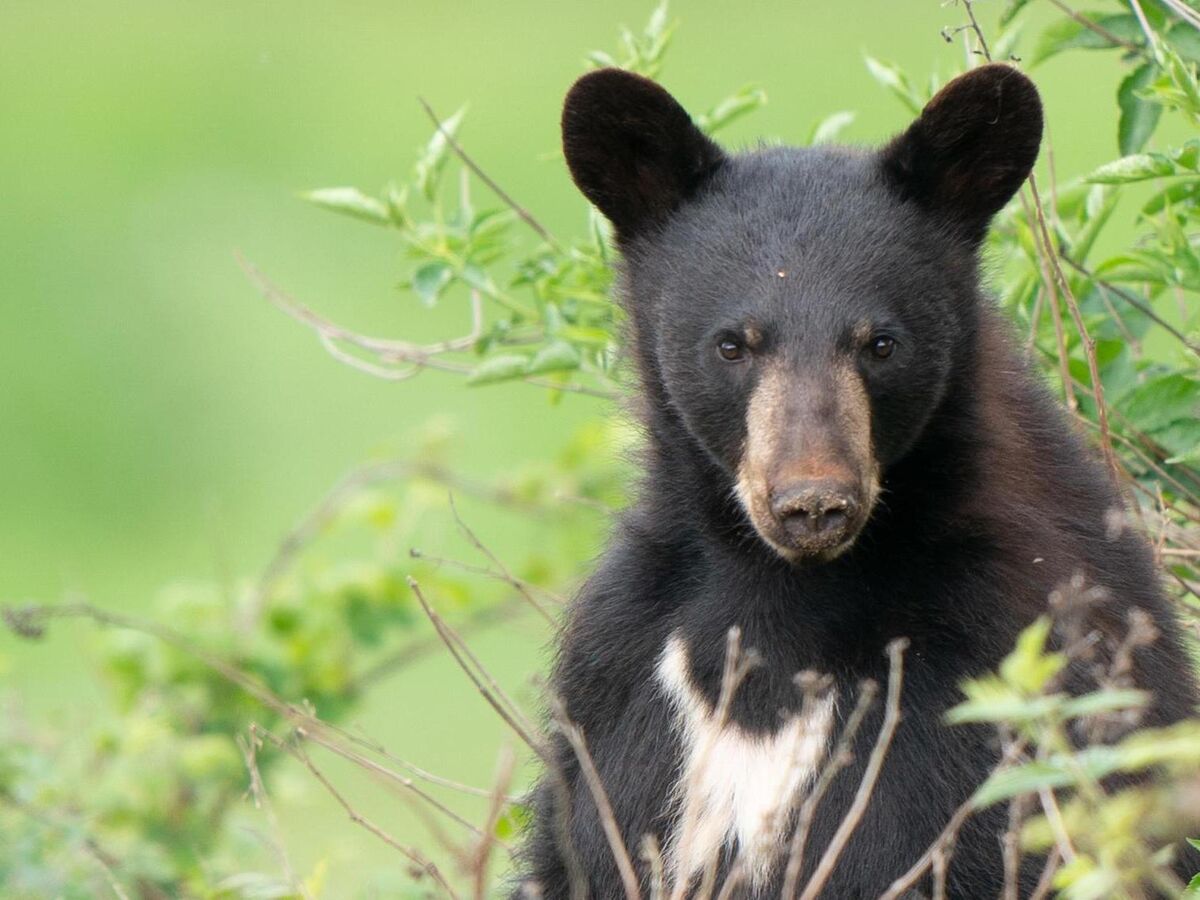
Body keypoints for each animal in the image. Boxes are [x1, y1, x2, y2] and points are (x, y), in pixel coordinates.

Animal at [513, 64, 1200, 899]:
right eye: (732, 344)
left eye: (880, 343)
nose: (812, 504)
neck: (783, 591)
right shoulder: (620, 670)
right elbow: (587, 840)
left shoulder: (1011, 655)